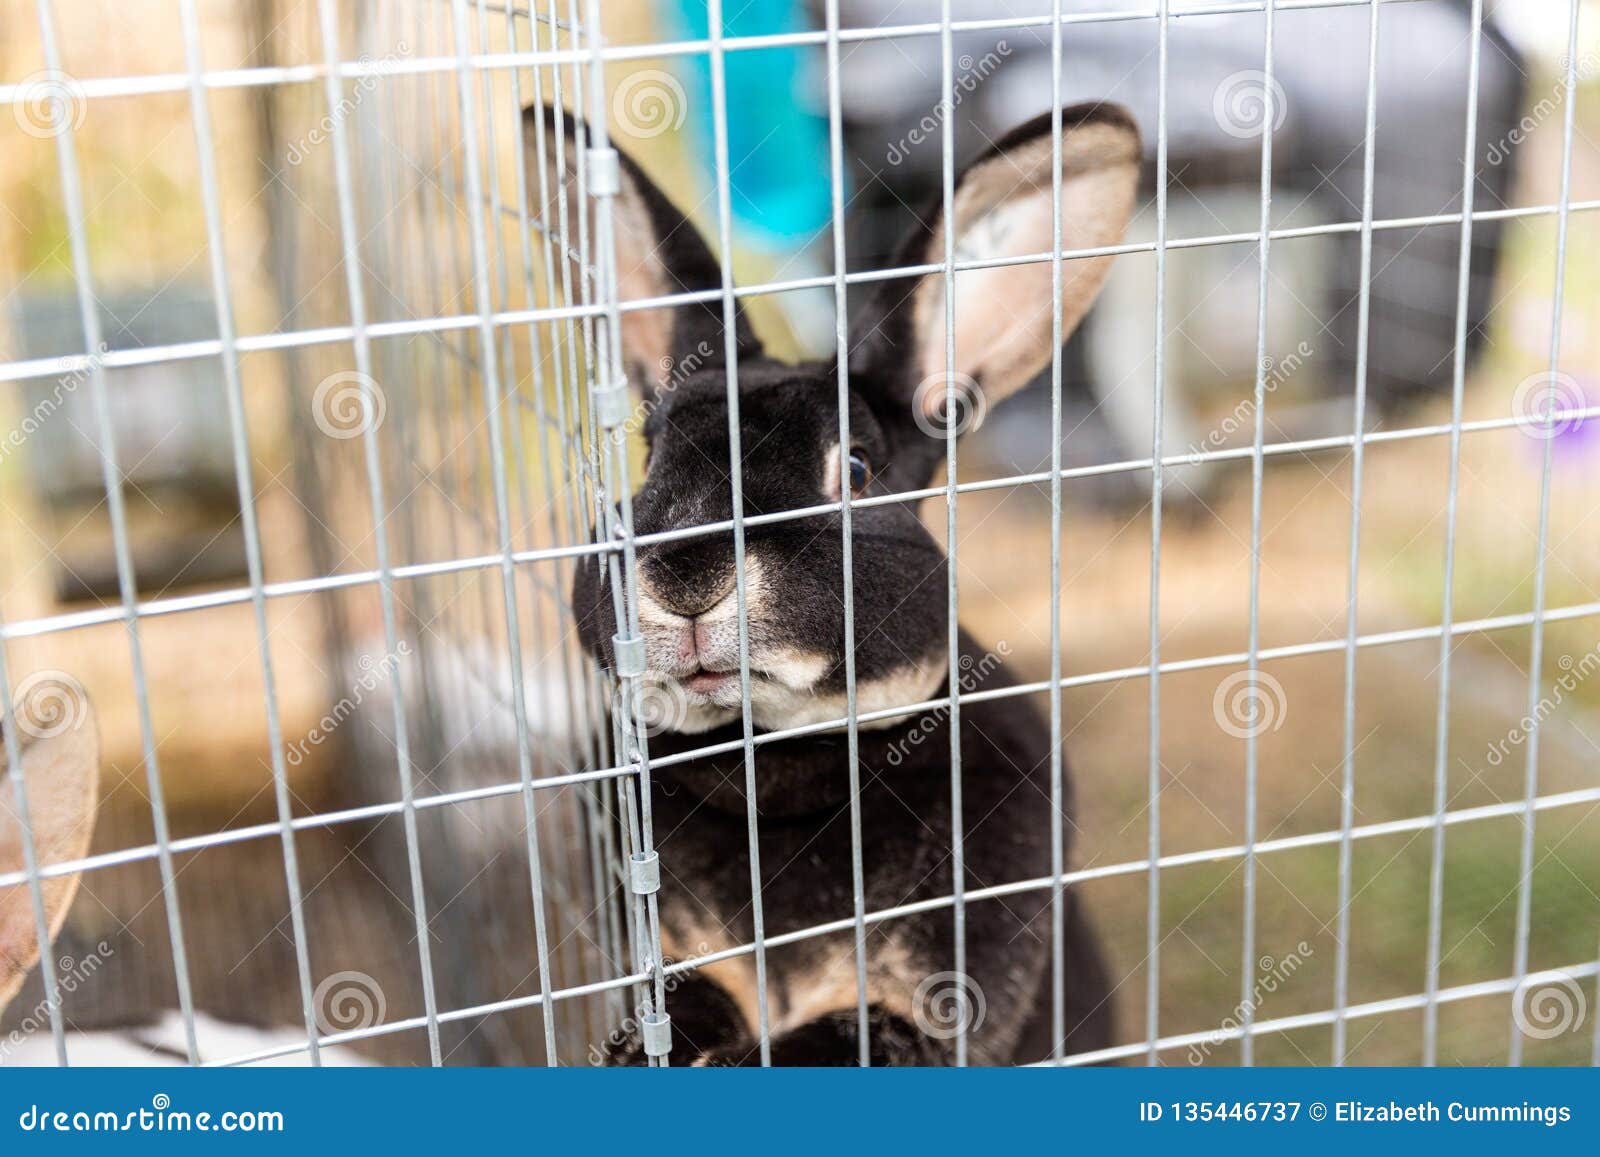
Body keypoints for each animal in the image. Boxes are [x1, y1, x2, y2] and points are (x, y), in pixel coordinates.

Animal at [538, 100, 1142, 1065]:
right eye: (651, 458)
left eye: (855, 467)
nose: (685, 575)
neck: (774, 761)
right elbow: (696, 997)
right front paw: (646, 1049)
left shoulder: (935, 994)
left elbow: (844, 1034)